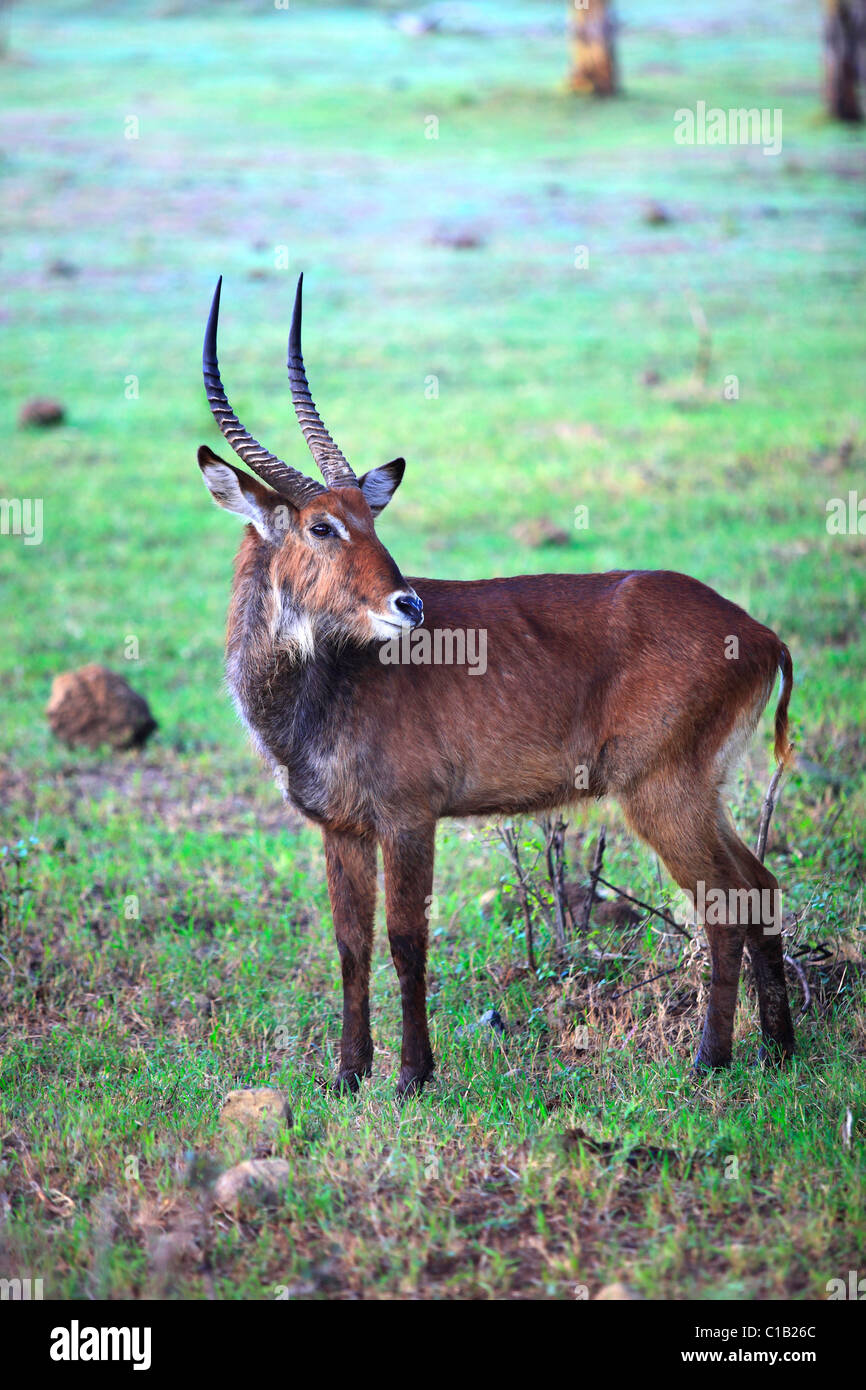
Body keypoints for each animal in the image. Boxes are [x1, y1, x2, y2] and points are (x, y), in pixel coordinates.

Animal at [198, 275, 796, 1097]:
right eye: (323, 525)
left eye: (371, 518)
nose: (409, 604)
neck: (325, 685)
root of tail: (759, 633)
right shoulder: (340, 828)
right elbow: (350, 946)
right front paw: (349, 1075)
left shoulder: (409, 818)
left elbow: (405, 940)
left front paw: (413, 1075)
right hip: (700, 792)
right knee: (759, 887)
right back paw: (780, 1050)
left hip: (661, 792)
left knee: (723, 905)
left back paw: (712, 1058)